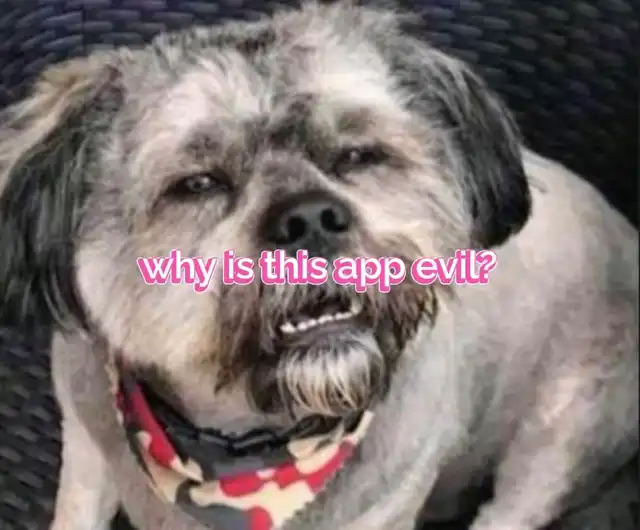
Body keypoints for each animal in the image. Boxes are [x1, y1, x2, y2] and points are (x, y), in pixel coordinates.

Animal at [0, 2, 637, 529]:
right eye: (199, 184)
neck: (247, 455)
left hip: (562, 436)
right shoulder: (85, 448)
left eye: (358, 155)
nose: (309, 218)